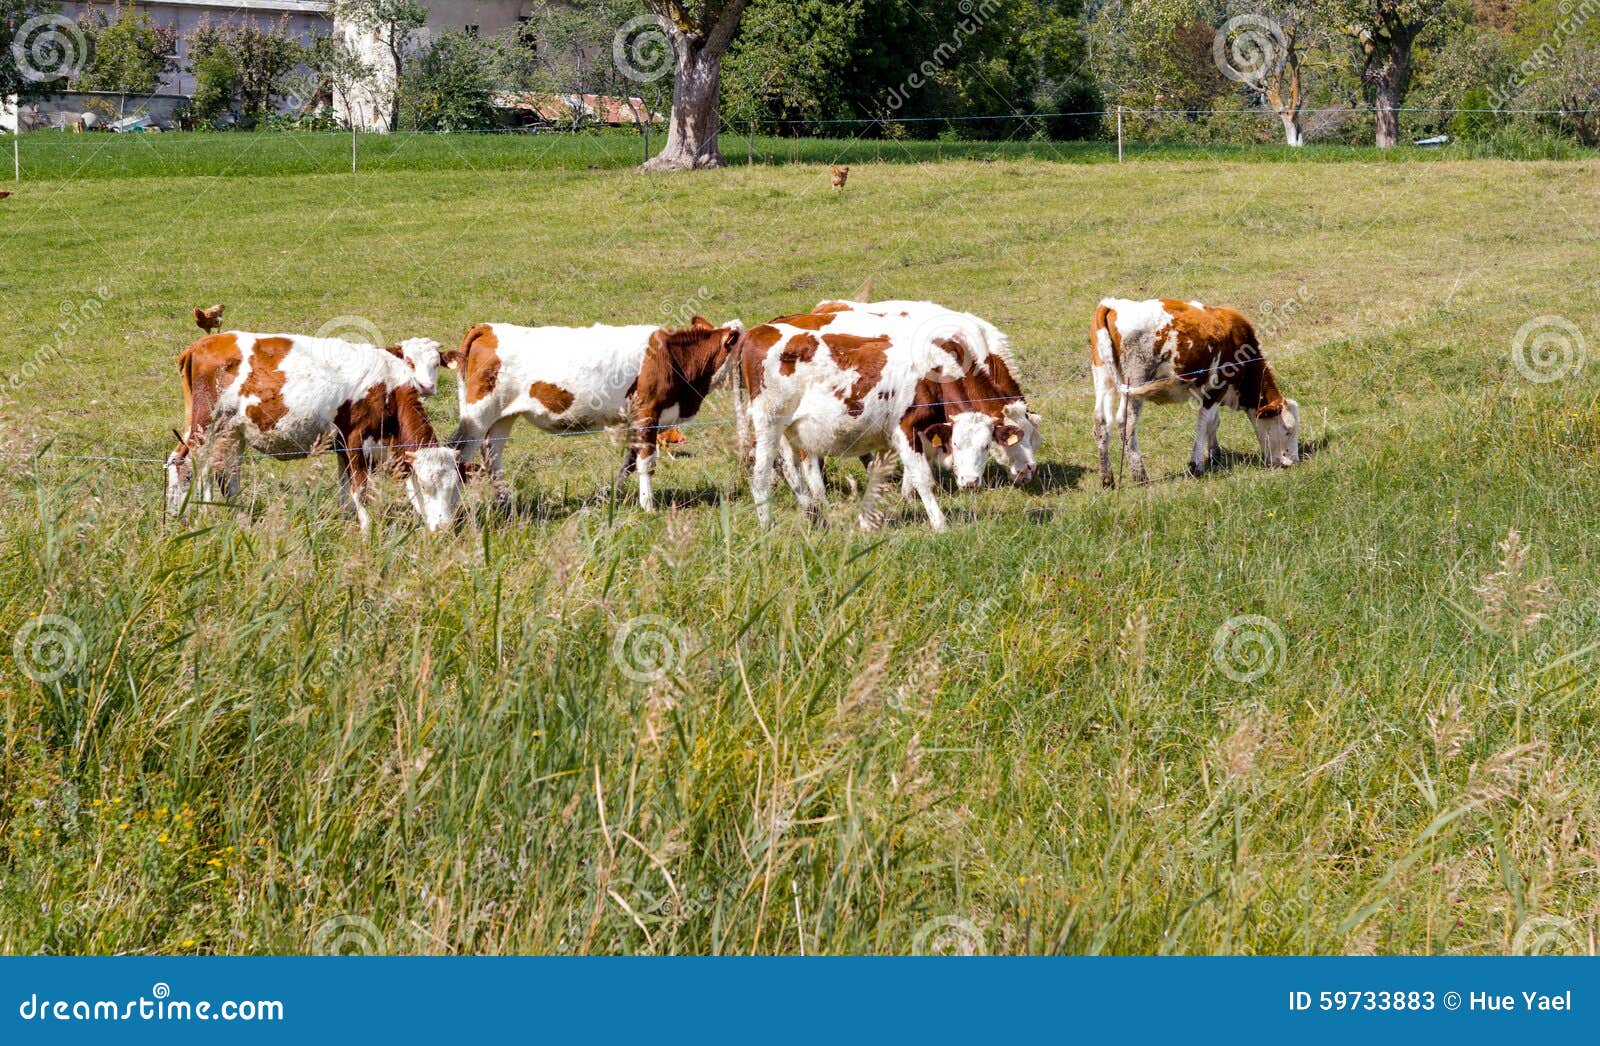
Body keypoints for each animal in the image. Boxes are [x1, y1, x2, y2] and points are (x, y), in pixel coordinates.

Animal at [164, 332, 460, 531]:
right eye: (426, 486)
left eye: (454, 487)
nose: (444, 528)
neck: (388, 389)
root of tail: (200, 344)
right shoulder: (355, 440)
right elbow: (361, 490)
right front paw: (367, 532)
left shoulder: (342, 446)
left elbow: (344, 488)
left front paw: (346, 523)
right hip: (204, 426)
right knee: (193, 467)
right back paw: (196, 515)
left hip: (232, 431)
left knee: (224, 472)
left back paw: (236, 516)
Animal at [443, 316, 744, 511]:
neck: (672, 357)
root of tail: (488, 328)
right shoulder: (648, 413)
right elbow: (646, 463)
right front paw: (649, 506)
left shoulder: (637, 420)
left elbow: (630, 462)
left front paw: (612, 496)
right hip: (478, 414)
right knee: (459, 451)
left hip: (503, 417)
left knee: (493, 455)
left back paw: (505, 502)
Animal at [737, 306, 1037, 531]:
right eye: (956, 444)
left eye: (986, 446)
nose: (970, 482)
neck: (932, 375)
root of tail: (759, 330)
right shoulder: (905, 428)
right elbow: (923, 479)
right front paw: (940, 525)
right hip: (769, 423)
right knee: (761, 476)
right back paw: (769, 526)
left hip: (789, 430)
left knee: (790, 470)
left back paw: (816, 515)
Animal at [1091, 298, 1300, 488]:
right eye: (1288, 430)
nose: (1294, 462)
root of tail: (1112, 304)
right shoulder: (1217, 387)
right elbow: (1204, 422)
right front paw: (1196, 465)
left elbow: (1213, 423)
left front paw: (1215, 456)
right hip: (1135, 381)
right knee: (1126, 423)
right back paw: (1140, 476)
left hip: (1103, 379)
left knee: (1101, 422)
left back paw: (1107, 479)